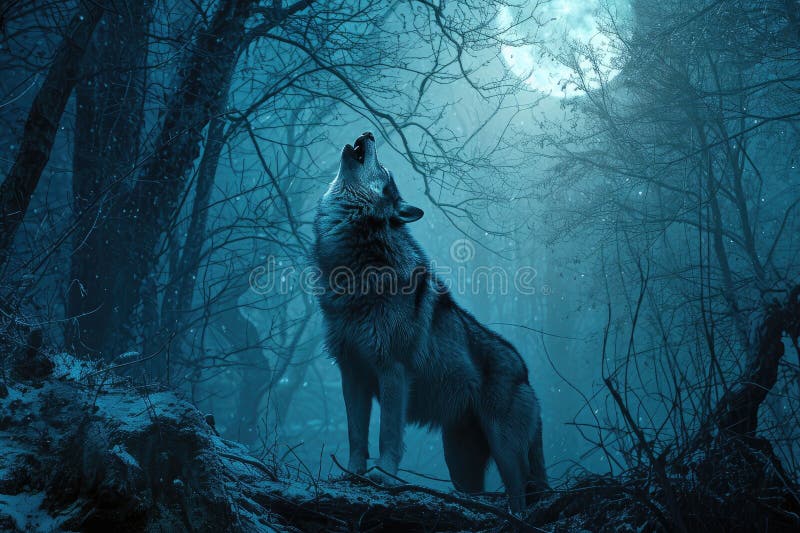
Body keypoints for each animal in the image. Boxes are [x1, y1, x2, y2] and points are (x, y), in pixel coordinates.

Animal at [313, 132, 547, 511]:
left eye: (384, 170)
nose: (368, 134)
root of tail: (525, 373)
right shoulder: (352, 373)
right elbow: (355, 436)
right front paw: (350, 474)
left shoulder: (392, 371)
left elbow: (387, 435)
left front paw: (383, 477)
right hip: (460, 463)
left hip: (506, 452)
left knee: (520, 498)